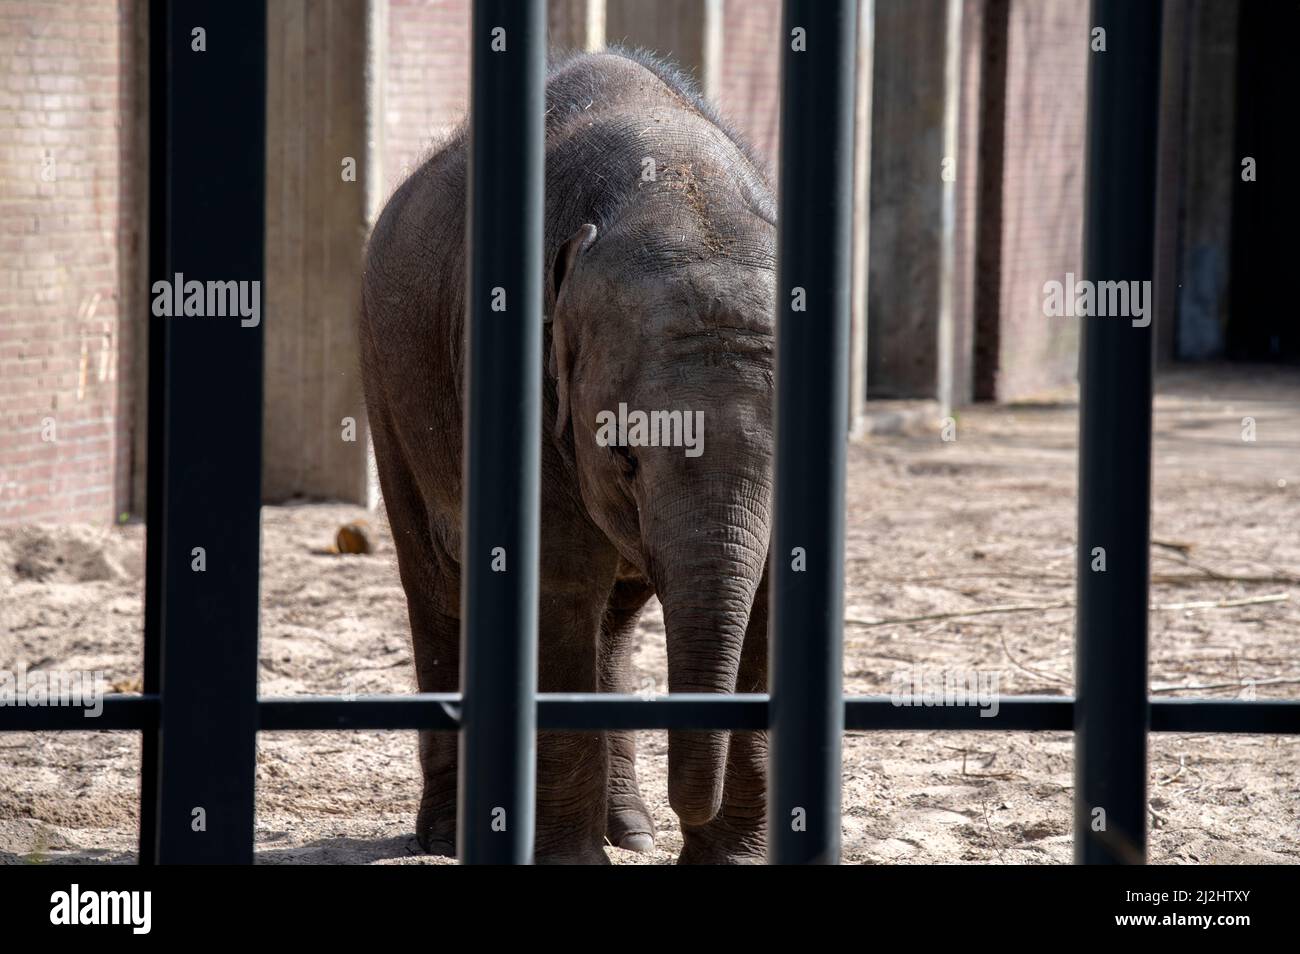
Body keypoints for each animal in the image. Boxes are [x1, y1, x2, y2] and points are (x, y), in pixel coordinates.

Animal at [359, 49, 777, 863]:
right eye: (623, 455)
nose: (689, 810)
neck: (676, 180)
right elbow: (557, 581)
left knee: (609, 624)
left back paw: (631, 830)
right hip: (387, 391)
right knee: (435, 585)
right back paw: (450, 834)